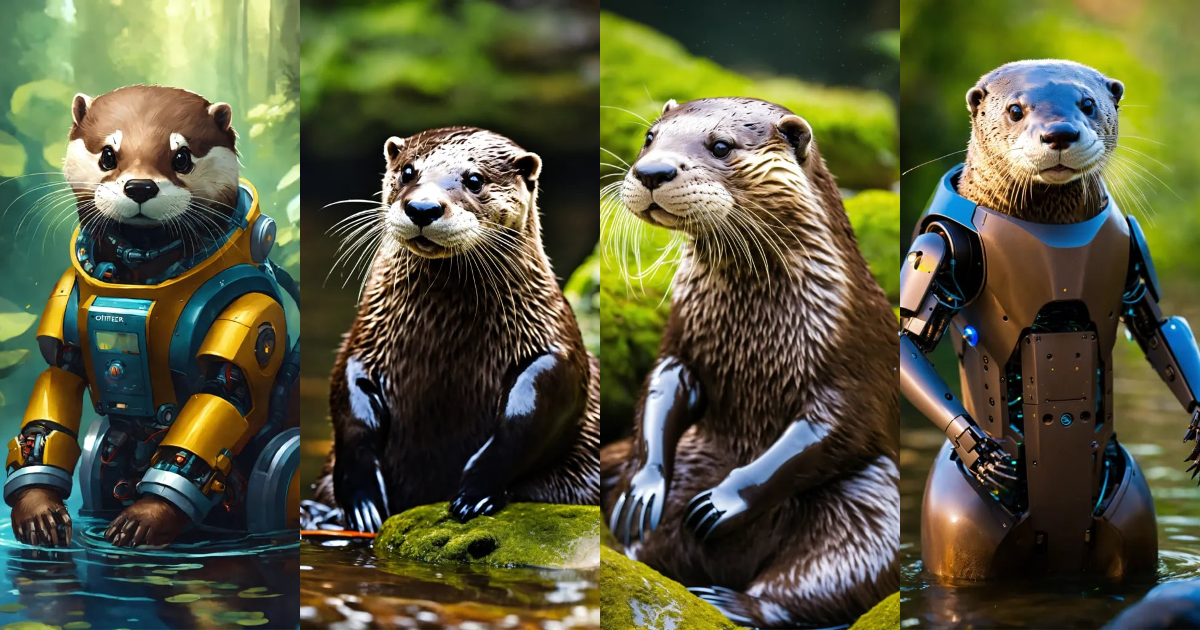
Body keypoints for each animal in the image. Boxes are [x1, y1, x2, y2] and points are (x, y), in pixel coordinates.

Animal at [307, 128, 599, 532]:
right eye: (408, 171)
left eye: (474, 180)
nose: (423, 208)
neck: (442, 342)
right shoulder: (365, 340)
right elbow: (350, 404)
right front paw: (364, 506)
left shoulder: (555, 351)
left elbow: (532, 418)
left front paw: (475, 493)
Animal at [600, 98, 899, 628]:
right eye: (650, 138)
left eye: (721, 146)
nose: (652, 171)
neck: (755, 326)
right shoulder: (681, 341)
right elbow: (661, 388)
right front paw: (642, 486)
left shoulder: (852, 362)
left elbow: (825, 434)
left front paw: (722, 503)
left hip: (870, 501)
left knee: (827, 573)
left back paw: (731, 602)